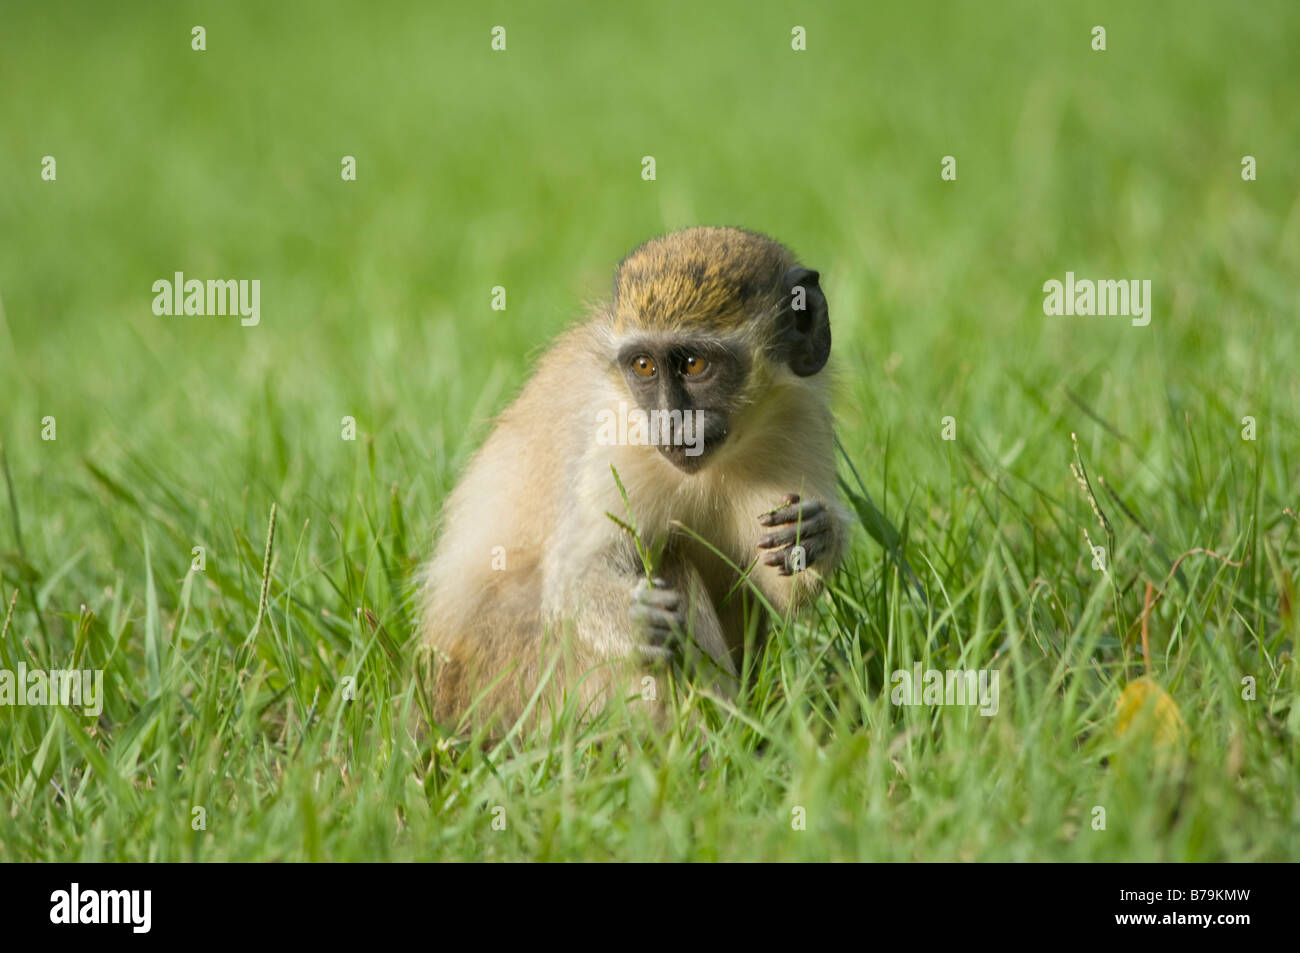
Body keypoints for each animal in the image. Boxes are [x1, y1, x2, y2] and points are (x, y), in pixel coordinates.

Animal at [419, 226, 850, 731]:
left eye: (694, 365)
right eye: (644, 366)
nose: (668, 424)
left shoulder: (798, 424)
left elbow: (781, 588)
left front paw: (816, 534)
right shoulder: (617, 440)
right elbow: (574, 573)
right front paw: (634, 620)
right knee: (666, 559)